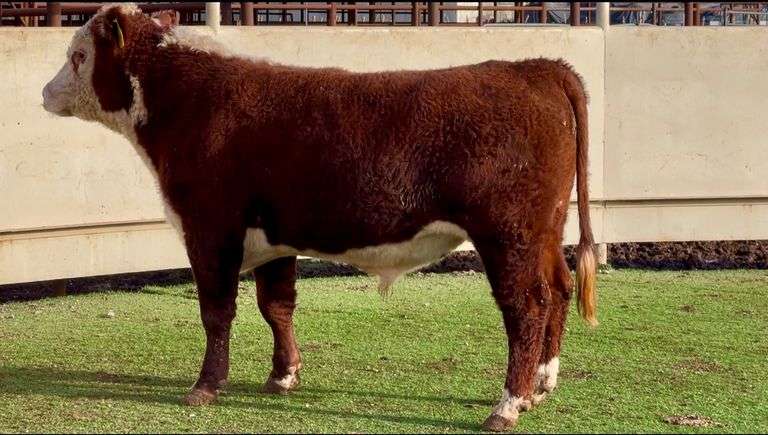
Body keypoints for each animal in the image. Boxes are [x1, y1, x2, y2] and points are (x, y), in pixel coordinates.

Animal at [41, 4, 597, 432]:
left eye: (78, 55)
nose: (45, 93)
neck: (190, 103)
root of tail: (534, 67)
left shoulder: (209, 227)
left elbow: (217, 311)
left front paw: (205, 386)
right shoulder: (271, 235)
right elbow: (276, 306)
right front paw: (282, 376)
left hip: (507, 233)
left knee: (526, 306)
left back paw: (508, 405)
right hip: (546, 229)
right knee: (560, 287)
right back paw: (542, 385)